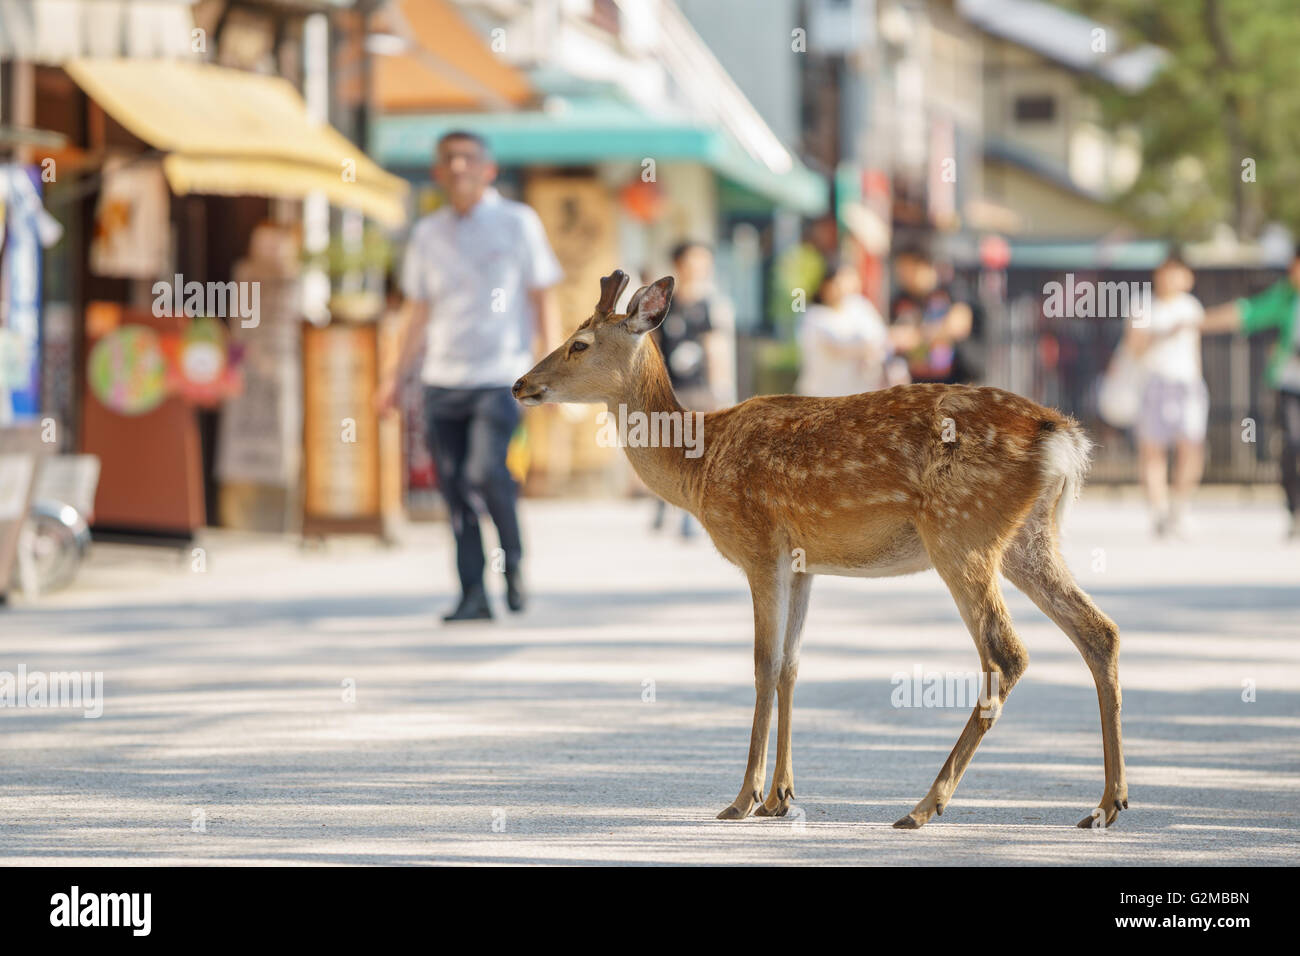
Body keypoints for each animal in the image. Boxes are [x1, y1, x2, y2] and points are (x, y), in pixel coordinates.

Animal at [511, 270, 1128, 829]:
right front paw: (781, 798)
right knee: (1099, 631)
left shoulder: (759, 546)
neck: (699, 464)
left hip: (962, 532)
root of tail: (1062, 436)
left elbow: (762, 664)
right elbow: (791, 665)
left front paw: (743, 799)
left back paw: (925, 805)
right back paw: (1106, 804)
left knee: (1006, 653)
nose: (519, 384)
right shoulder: (803, 563)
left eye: (579, 343)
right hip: (1029, 538)